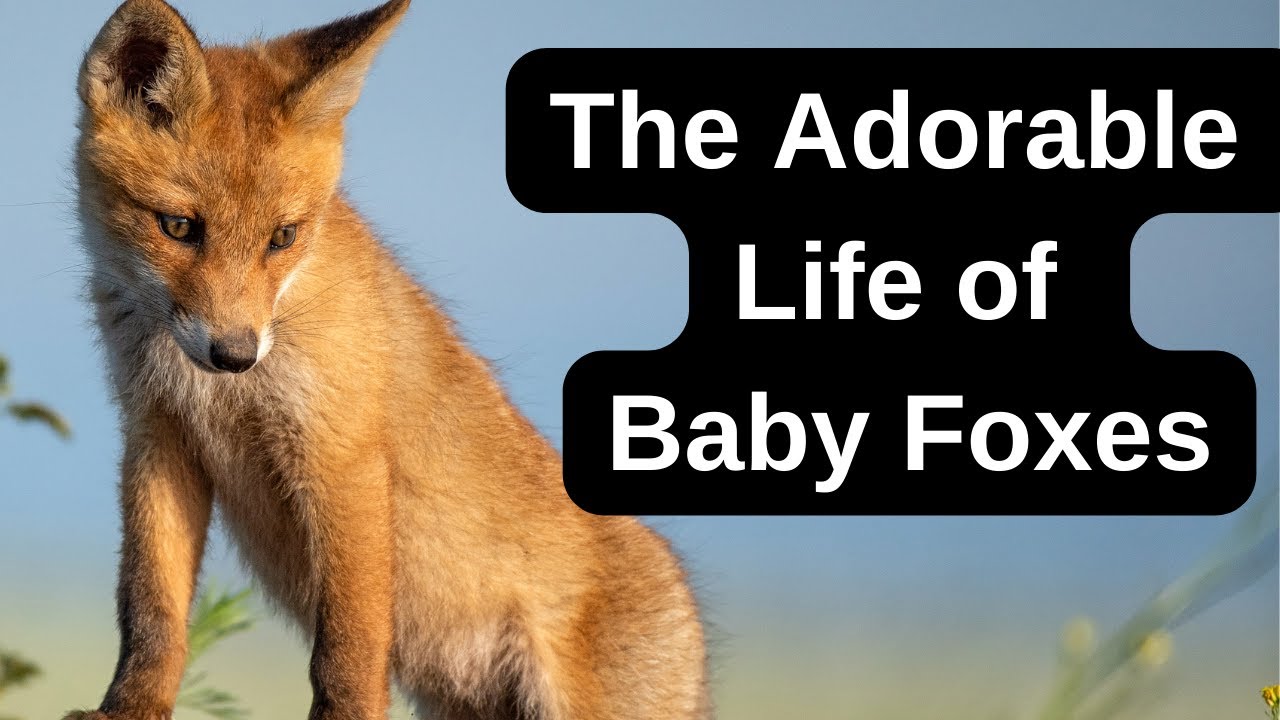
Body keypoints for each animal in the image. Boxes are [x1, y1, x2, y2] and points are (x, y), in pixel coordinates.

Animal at [64, 1, 711, 719]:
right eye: (178, 227)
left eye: (282, 238)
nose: (234, 354)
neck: (222, 394)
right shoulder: (159, 437)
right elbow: (152, 610)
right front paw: (128, 709)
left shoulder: (341, 456)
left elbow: (348, 643)